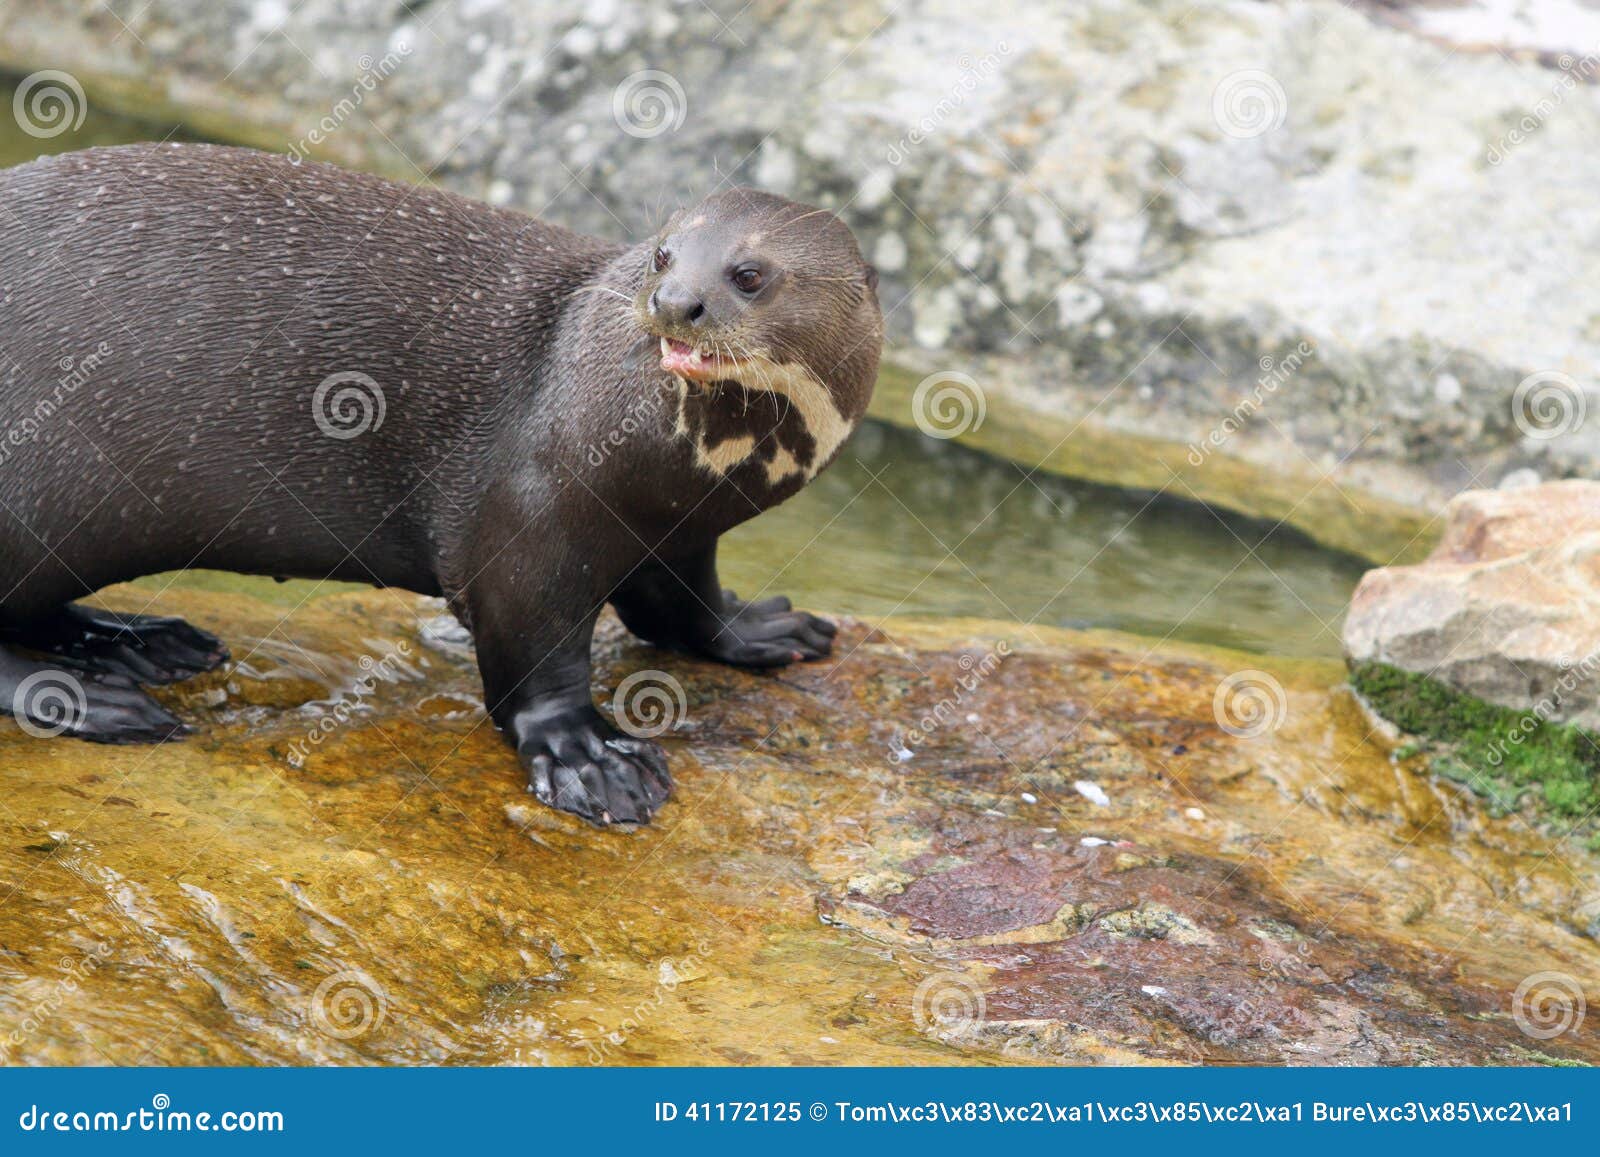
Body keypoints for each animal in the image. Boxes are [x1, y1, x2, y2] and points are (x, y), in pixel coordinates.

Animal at [0, 143, 881, 825]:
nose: (673, 302)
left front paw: (760, 628)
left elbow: (683, 605)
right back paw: (92, 696)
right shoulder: (533, 515)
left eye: (749, 273)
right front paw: (588, 755)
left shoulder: (679, 528)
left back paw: (137, 642)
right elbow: (534, 652)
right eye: (663, 252)